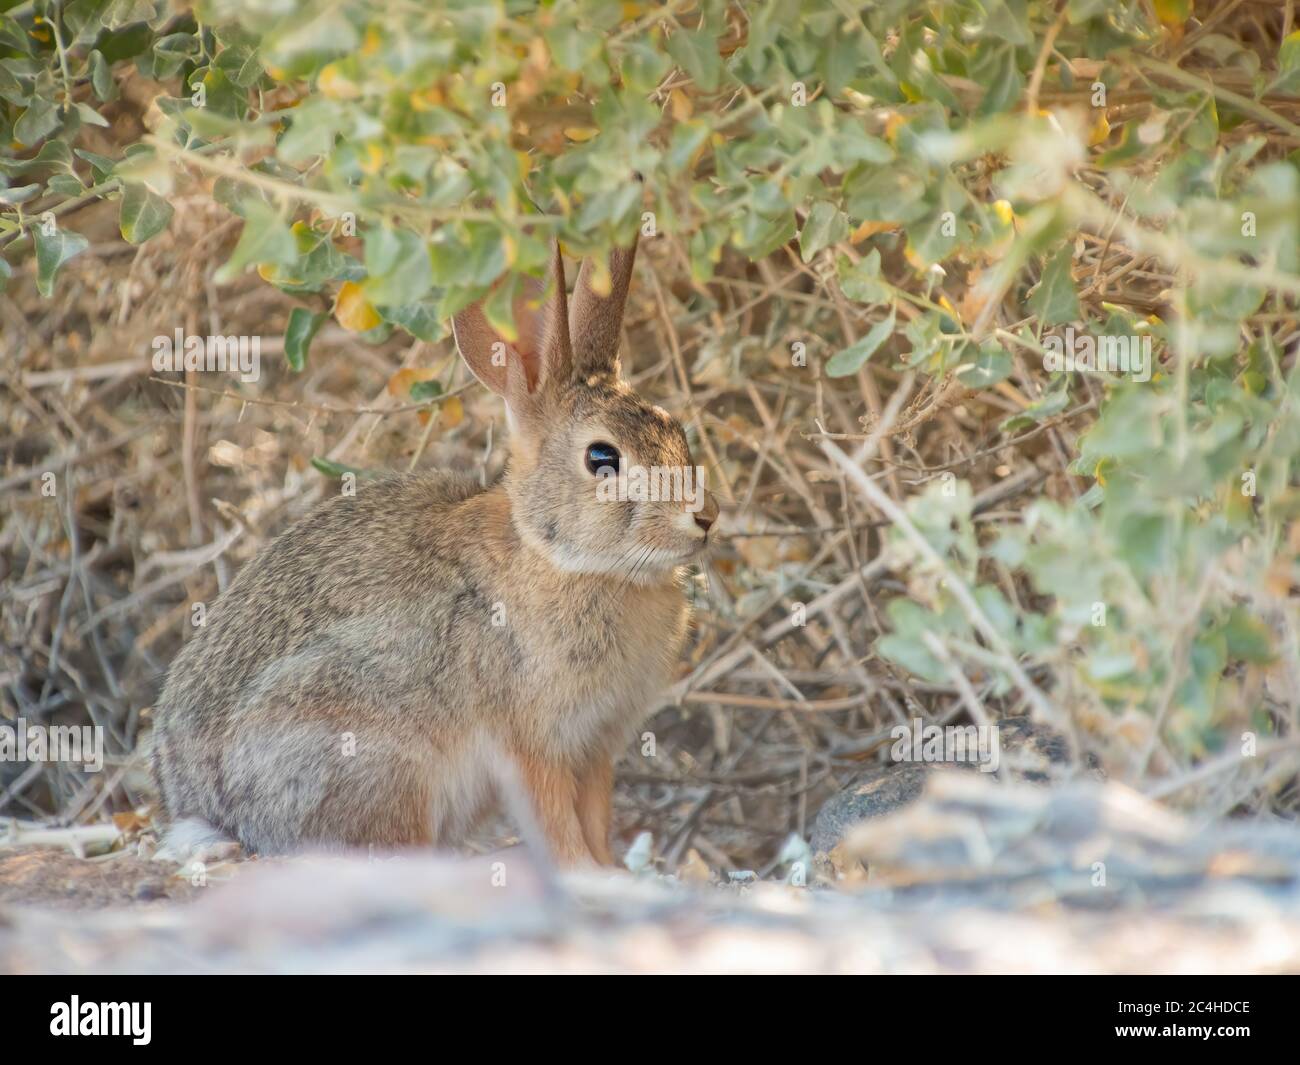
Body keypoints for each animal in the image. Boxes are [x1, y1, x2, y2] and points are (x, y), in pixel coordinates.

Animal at [150, 235, 718, 866]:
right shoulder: (530, 744)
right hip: (375, 756)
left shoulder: (595, 748)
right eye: (603, 458)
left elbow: (595, 819)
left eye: (676, 431)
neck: (561, 559)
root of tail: (211, 816)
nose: (706, 516)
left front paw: (613, 870)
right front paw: (586, 872)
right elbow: (555, 824)